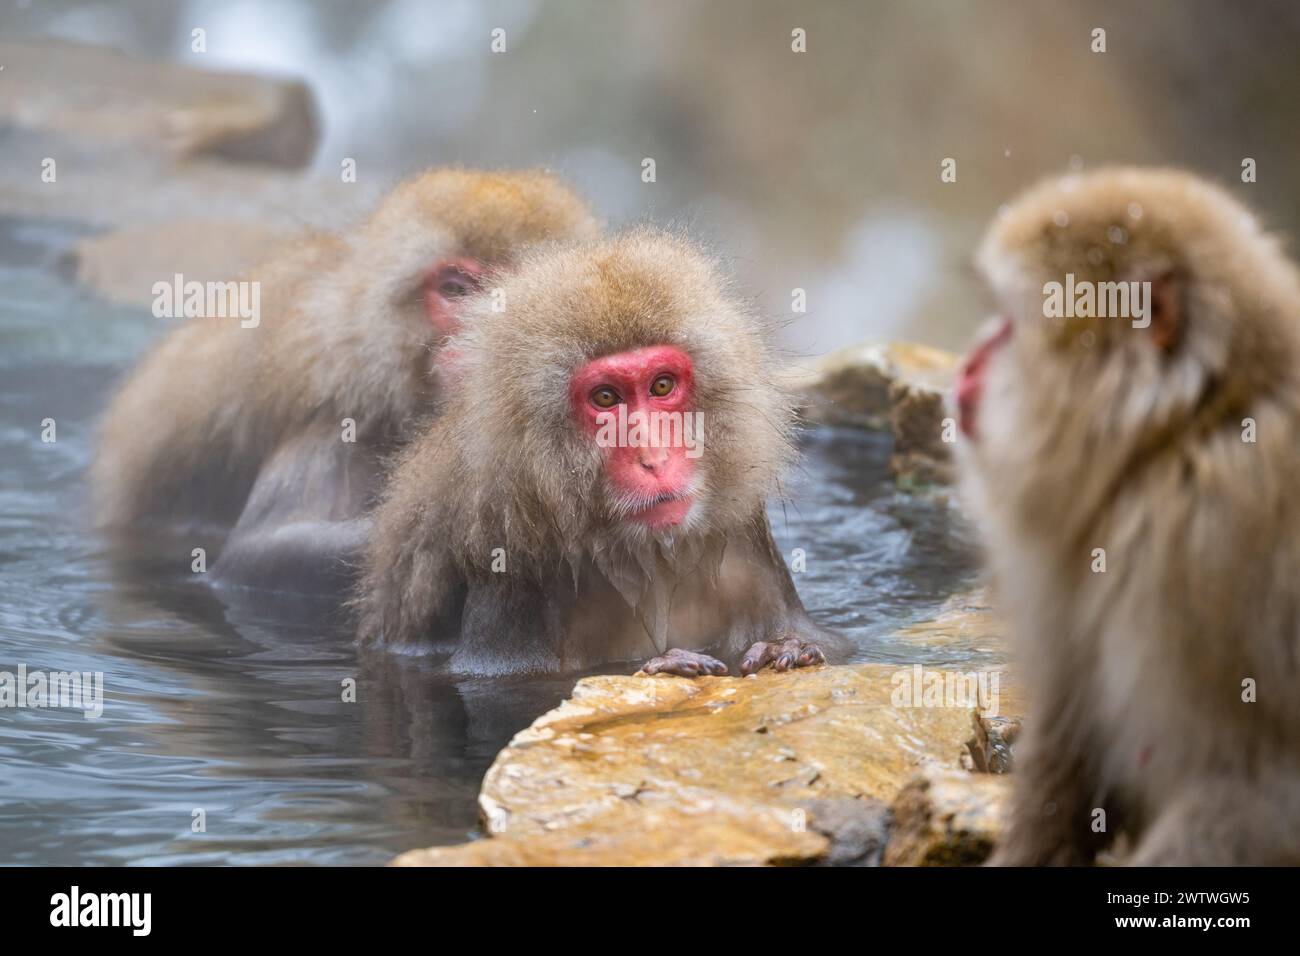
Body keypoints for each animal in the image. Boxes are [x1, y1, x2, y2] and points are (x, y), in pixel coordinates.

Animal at [353, 229, 839, 677]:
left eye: (662, 385)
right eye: (605, 398)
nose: (654, 459)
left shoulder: (743, 539)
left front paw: (787, 646)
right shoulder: (505, 555)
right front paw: (667, 662)